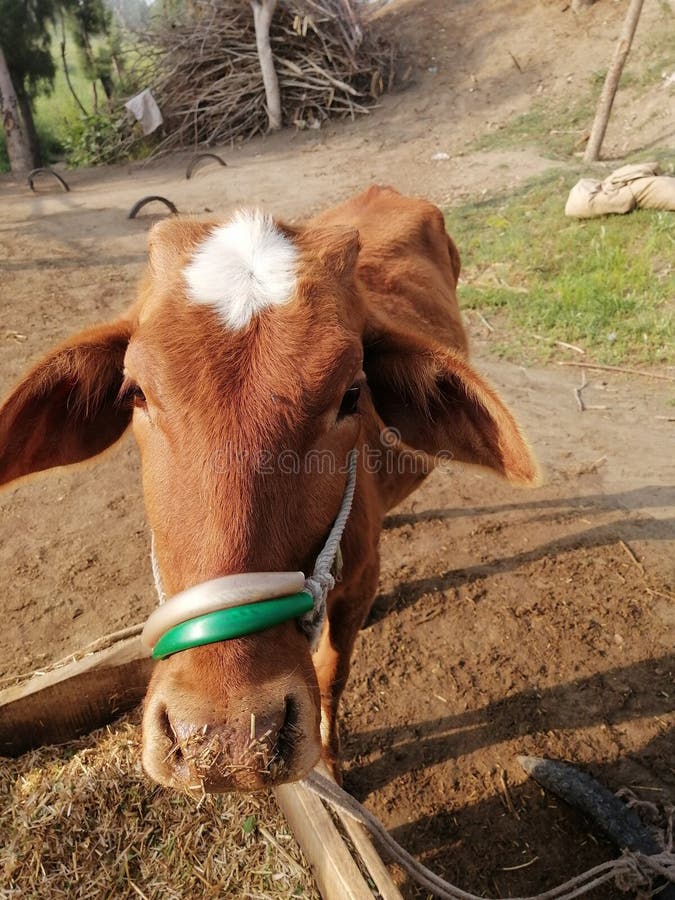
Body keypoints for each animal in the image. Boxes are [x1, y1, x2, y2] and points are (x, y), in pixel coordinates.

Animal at [0, 186, 538, 792]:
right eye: (135, 391)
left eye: (353, 394)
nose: (227, 739)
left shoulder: (359, 583)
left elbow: (332, 673)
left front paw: (332, 762)